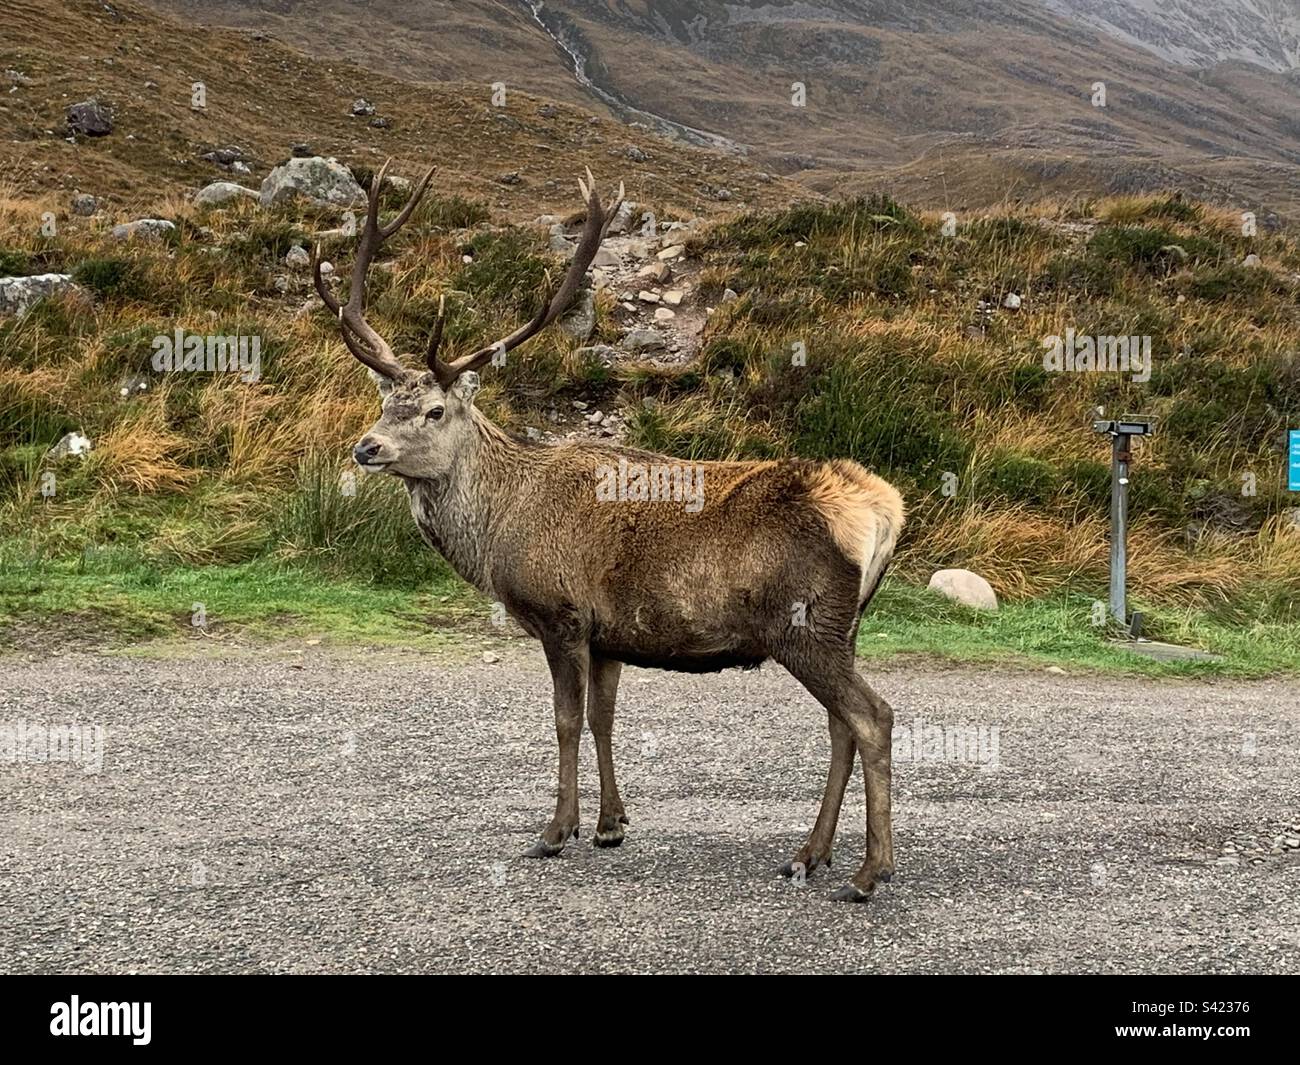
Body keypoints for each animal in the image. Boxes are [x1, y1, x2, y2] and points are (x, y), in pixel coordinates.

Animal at [312, 160, 906, 902]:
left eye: (434, 409)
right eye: (384, 400)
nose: (367, 447)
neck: (502, 524)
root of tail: (884, 509)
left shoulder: (559, 613)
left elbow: (565, 720)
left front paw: (554, 830)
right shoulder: (610, 634)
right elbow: (603, 717)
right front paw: (611, 824)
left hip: (804, 623)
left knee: (872, 717)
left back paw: (868, 871)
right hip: (840, 627)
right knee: (841, 726)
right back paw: (809, 853)